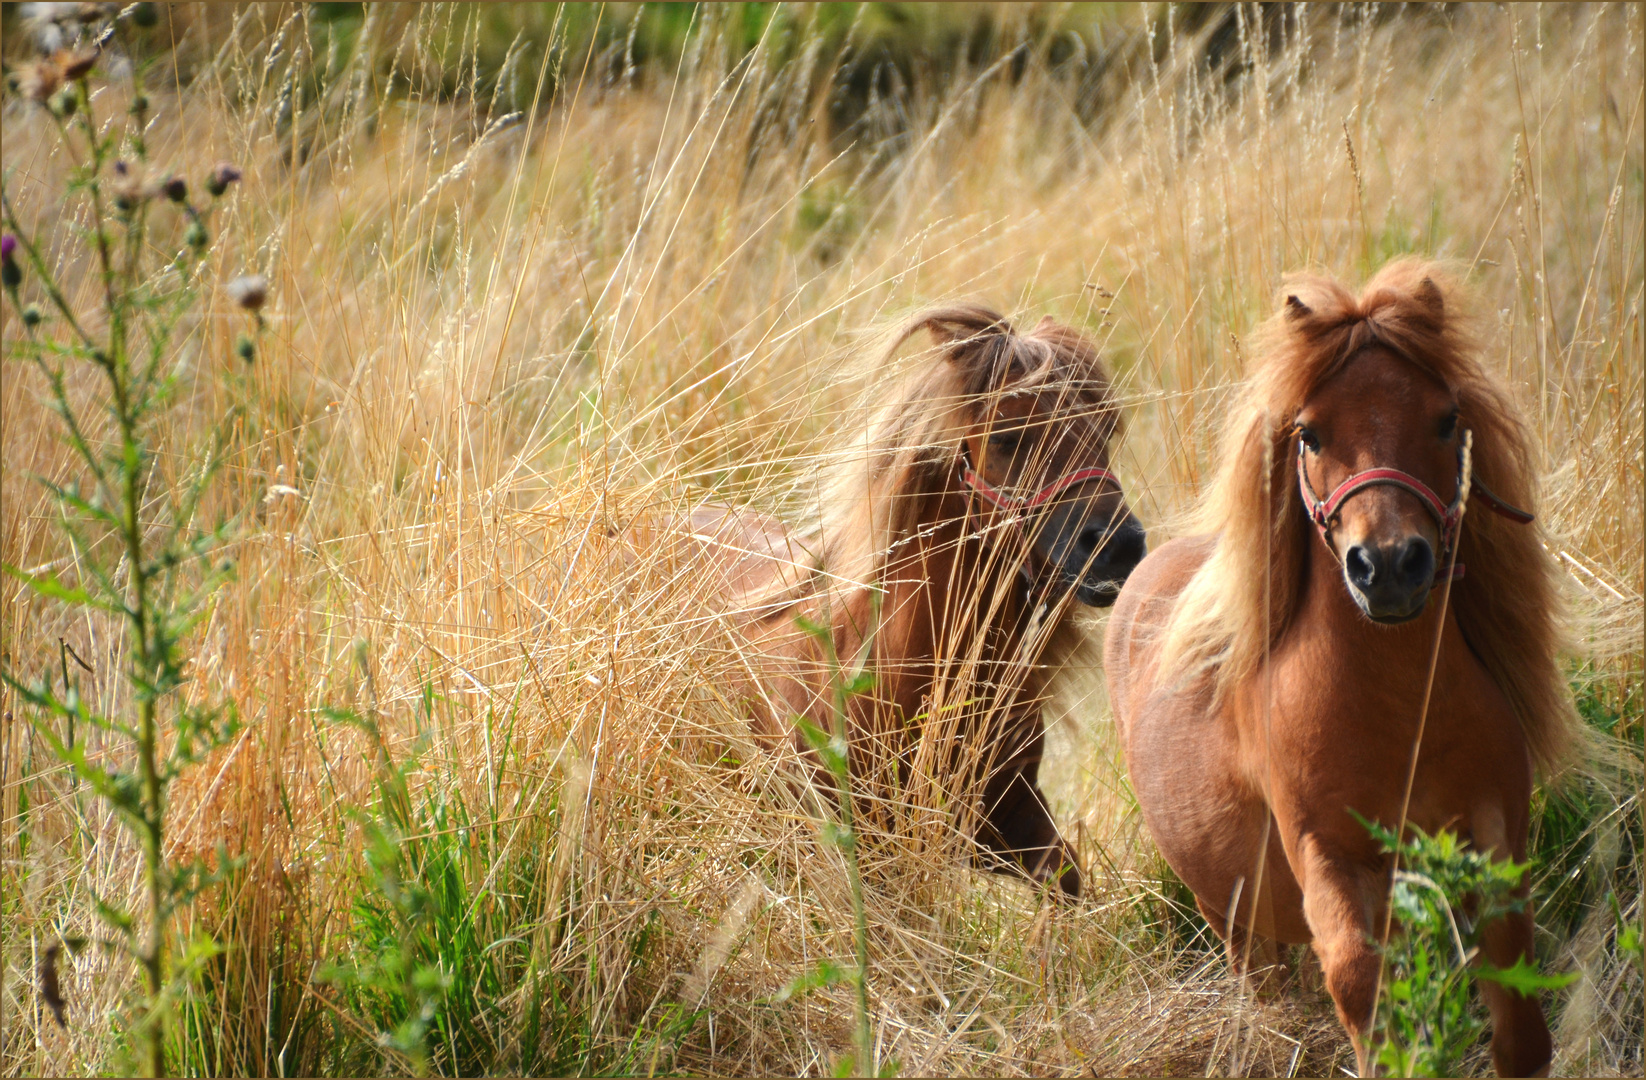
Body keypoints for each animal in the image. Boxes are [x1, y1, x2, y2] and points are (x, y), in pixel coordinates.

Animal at [1104, 260, 1574, 1076]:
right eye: (1311, 433)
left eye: (1446, 418)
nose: (1388, 567)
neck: (1396, 710)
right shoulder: (1325, 851)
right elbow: (1359, 979)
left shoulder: (1492, 824)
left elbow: (1513, 982)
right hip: (1231, 914)